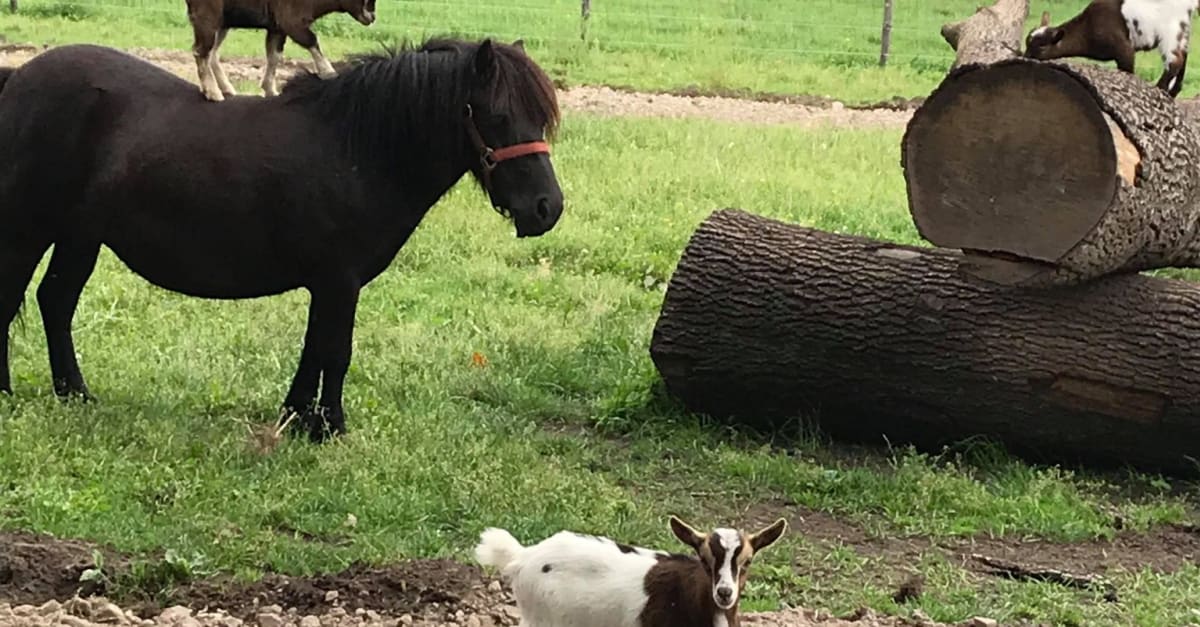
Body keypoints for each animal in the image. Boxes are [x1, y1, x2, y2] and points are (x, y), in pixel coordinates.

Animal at [0, 37, 564, 442]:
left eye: (540, 117)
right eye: (497, 116)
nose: (547, 208)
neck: (356, 150)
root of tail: (18, 78)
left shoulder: (329, 284)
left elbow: (315, 349)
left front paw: (297, 418)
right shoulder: (340, 281)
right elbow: (336, 351)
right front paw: (330, 427)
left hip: (80, 235)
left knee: (56, 302)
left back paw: (75, 394)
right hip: (28, 229)